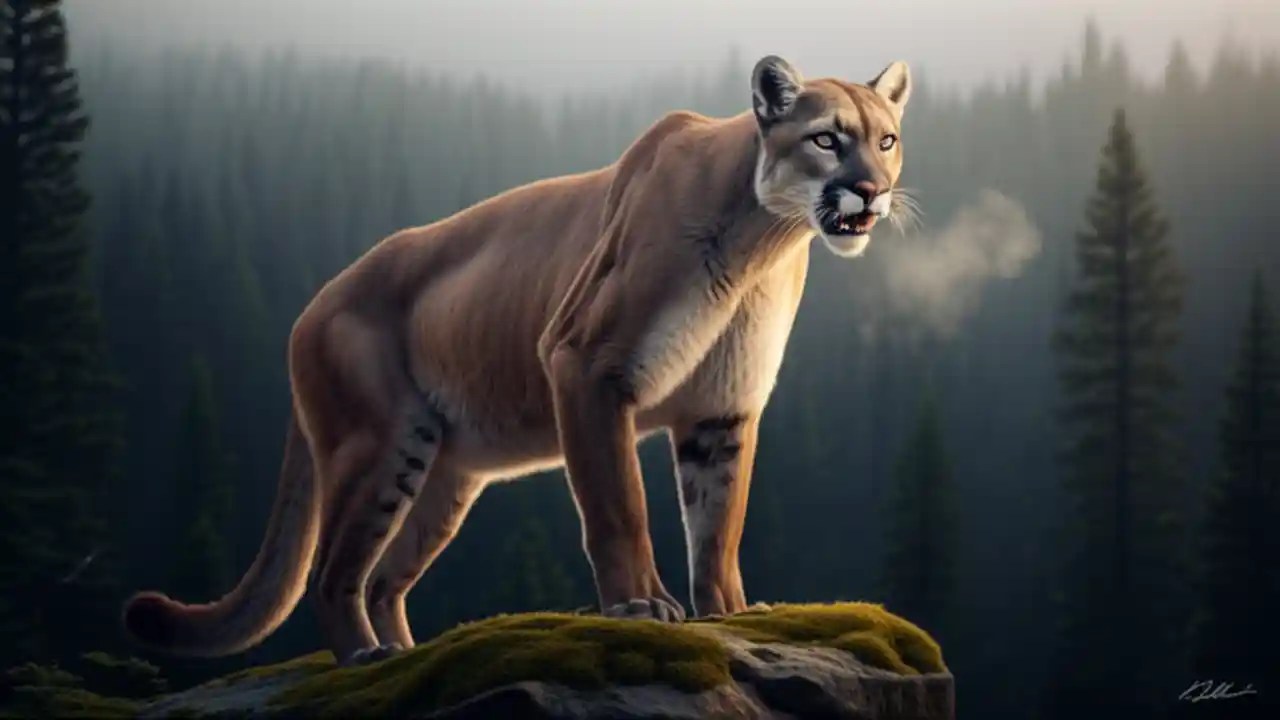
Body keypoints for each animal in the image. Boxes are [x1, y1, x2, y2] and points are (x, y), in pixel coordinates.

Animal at [122, 56, 913, 665]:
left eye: (887, 140)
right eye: (826, 139)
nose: (872, 191)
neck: (763, 242)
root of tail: (308, 308)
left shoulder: (721, 408)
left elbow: (719, 527)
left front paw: (732, 613)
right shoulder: (587, 367)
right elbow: (617, 505)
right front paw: (639, 606)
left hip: (447, 474)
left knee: (384, 578)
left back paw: (405, 651)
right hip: (379, 442)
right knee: (333, 573)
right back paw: (366, 657)